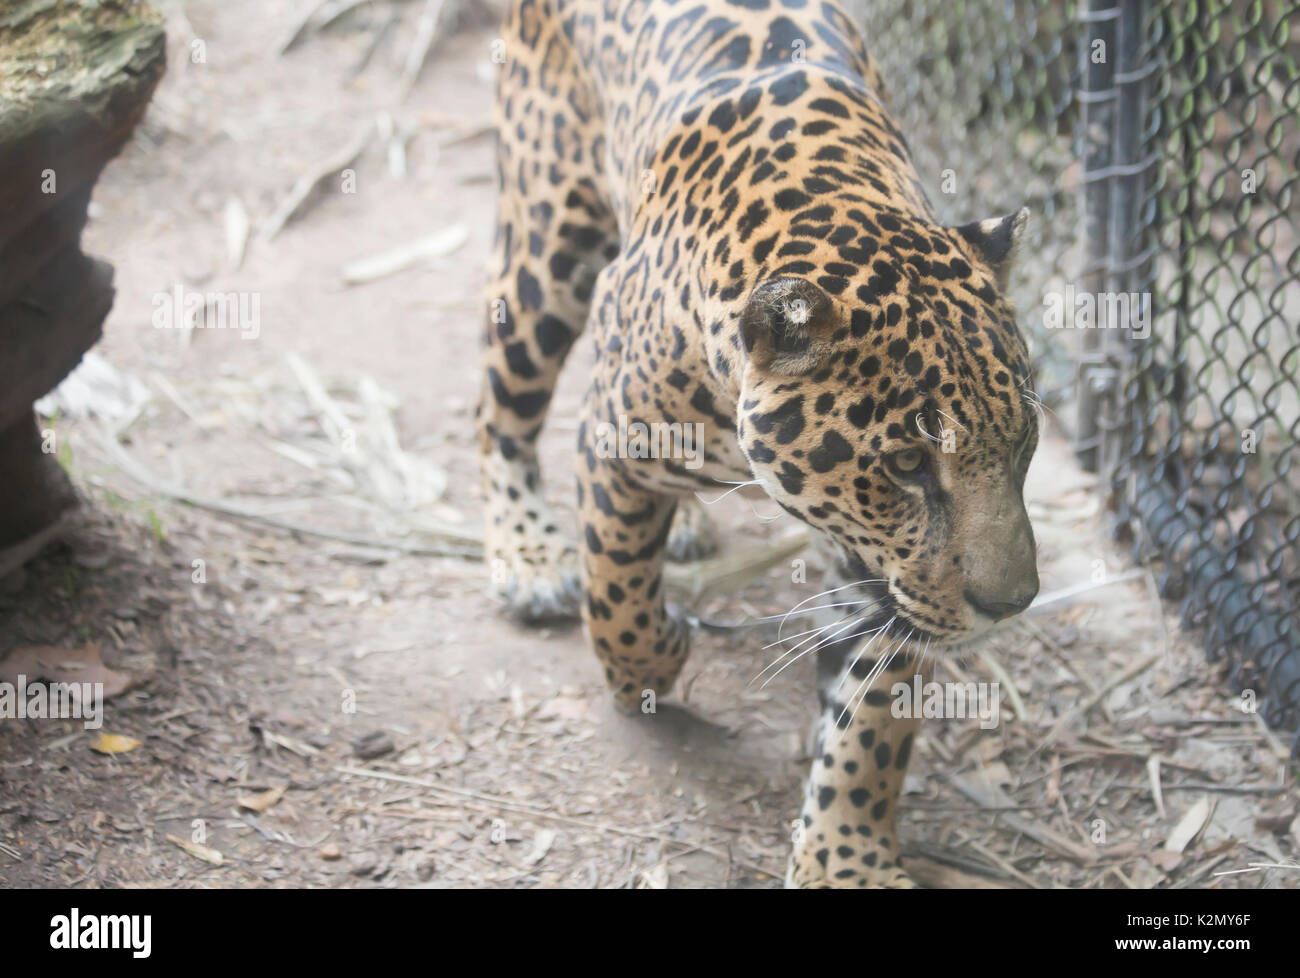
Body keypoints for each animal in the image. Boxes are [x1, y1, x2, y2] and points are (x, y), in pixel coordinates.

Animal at [476, 0, 1041, 888]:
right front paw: (652, 662)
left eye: (1025, 441)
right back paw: (529, 558)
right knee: (499, 403)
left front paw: (847, 858)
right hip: (546, 240)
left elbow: (873, 720)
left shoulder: (886, 573)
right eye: (908, 464)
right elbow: (616, 591)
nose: (1011, 603)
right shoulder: (614, 444)